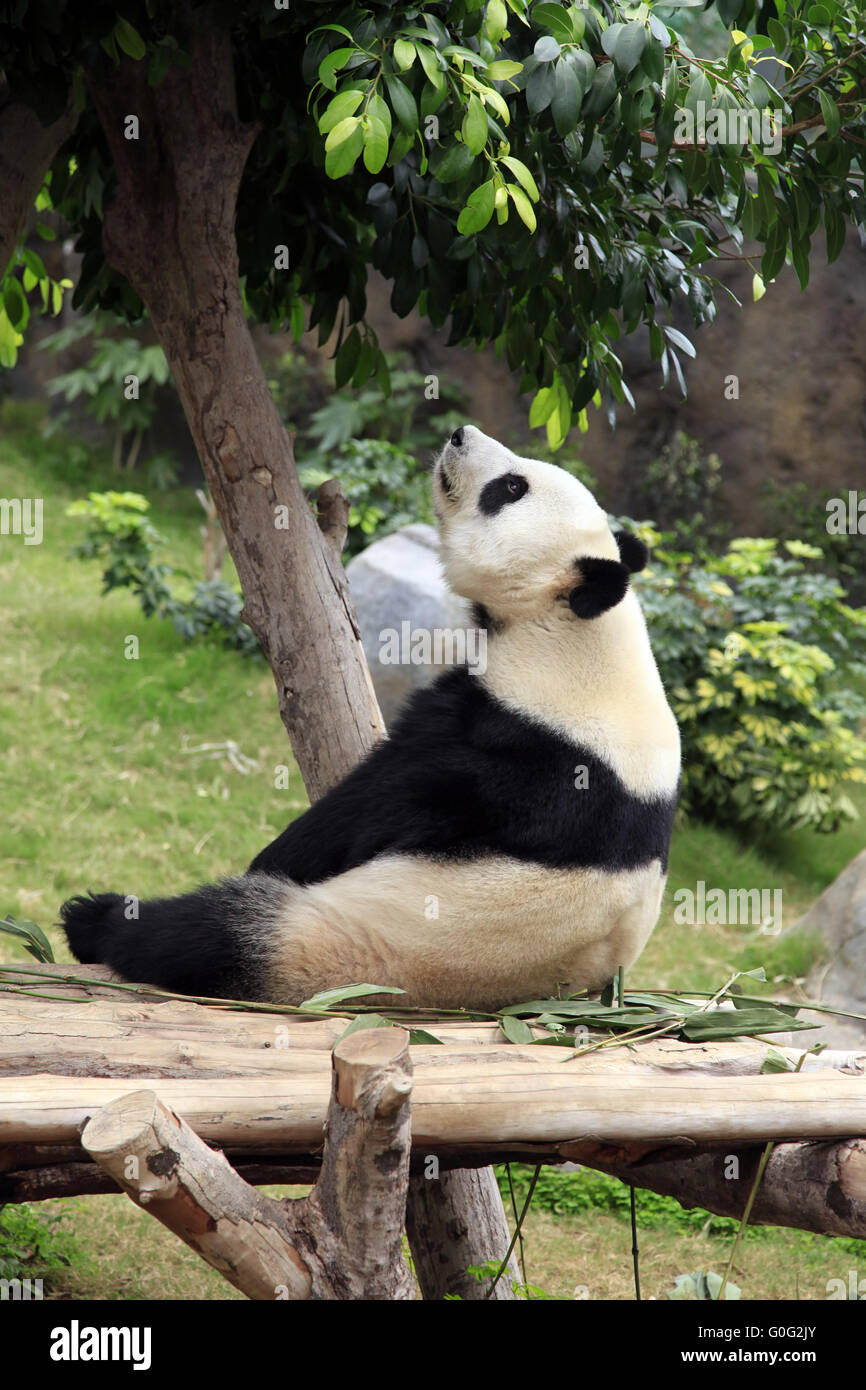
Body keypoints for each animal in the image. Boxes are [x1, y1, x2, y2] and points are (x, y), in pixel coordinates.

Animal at [61, 425, 681, 1012]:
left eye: (511, 488)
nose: (460, 434)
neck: (575, 637)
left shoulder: (512, 743)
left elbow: (368, 809)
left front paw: (275, 853)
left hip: (337, 939)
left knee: (212, 932)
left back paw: (96, 919)